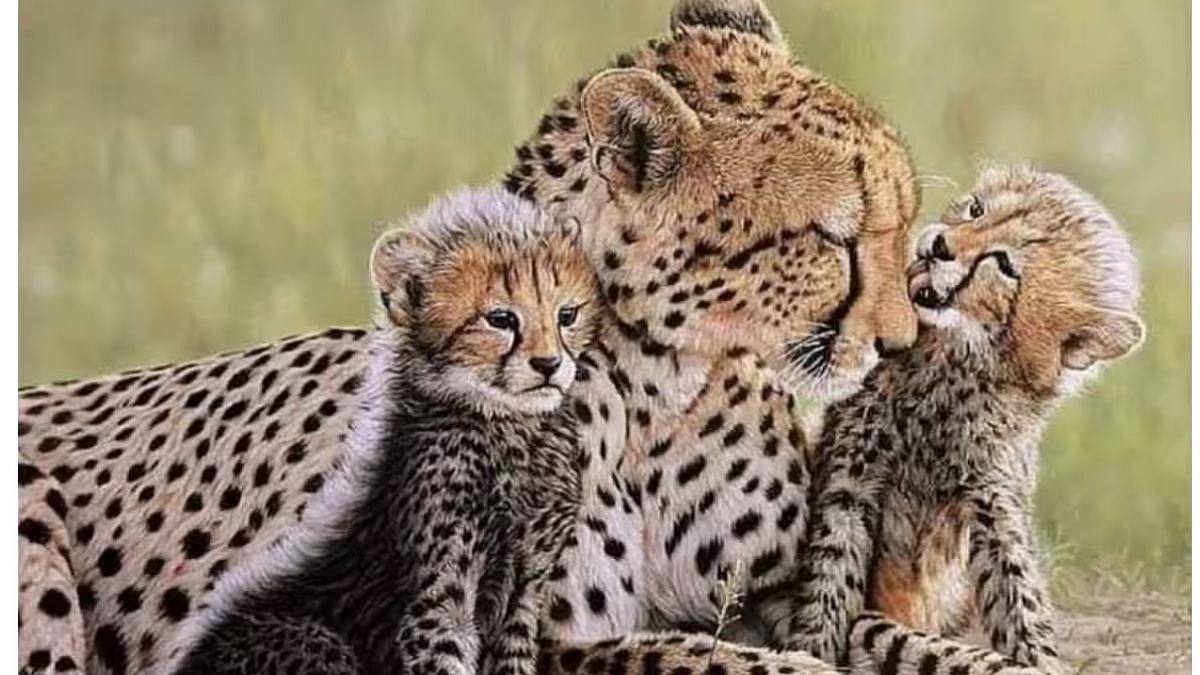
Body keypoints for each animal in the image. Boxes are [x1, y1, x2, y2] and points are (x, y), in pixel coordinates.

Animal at [168, 187, 599, 675]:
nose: (549, 365)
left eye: (567, 314)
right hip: (316, 640)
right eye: (501, 319)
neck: (512, 429)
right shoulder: (437, 604)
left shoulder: (524, 596)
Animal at [783, 165, 1144, 673]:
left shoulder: (992, 501)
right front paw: (811, 650)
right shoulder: (850, 482)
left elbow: (1017, 593)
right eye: (976, 209)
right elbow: (830, 580)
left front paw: (1038, 656)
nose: (939, 246)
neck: (948, 362)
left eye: (1004, 264)